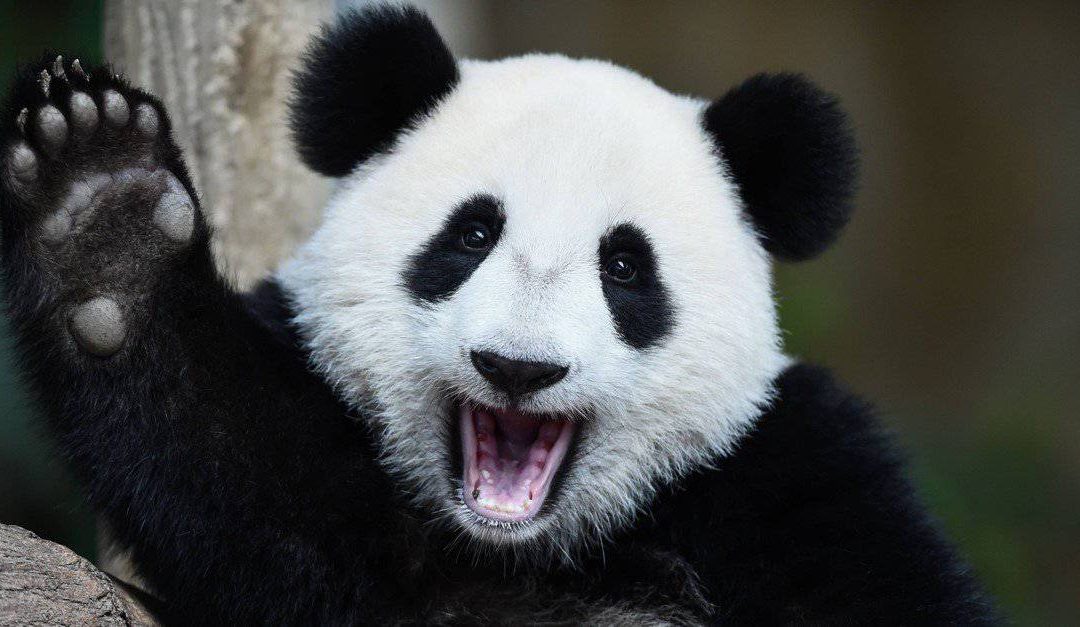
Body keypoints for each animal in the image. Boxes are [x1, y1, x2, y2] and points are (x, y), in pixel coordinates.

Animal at [0, 4, 996, 625]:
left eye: (625, 266)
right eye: (473, 233)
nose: (519, 368)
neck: (524, 548)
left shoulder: (792, 472)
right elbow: (252, 487)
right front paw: (105, 210)